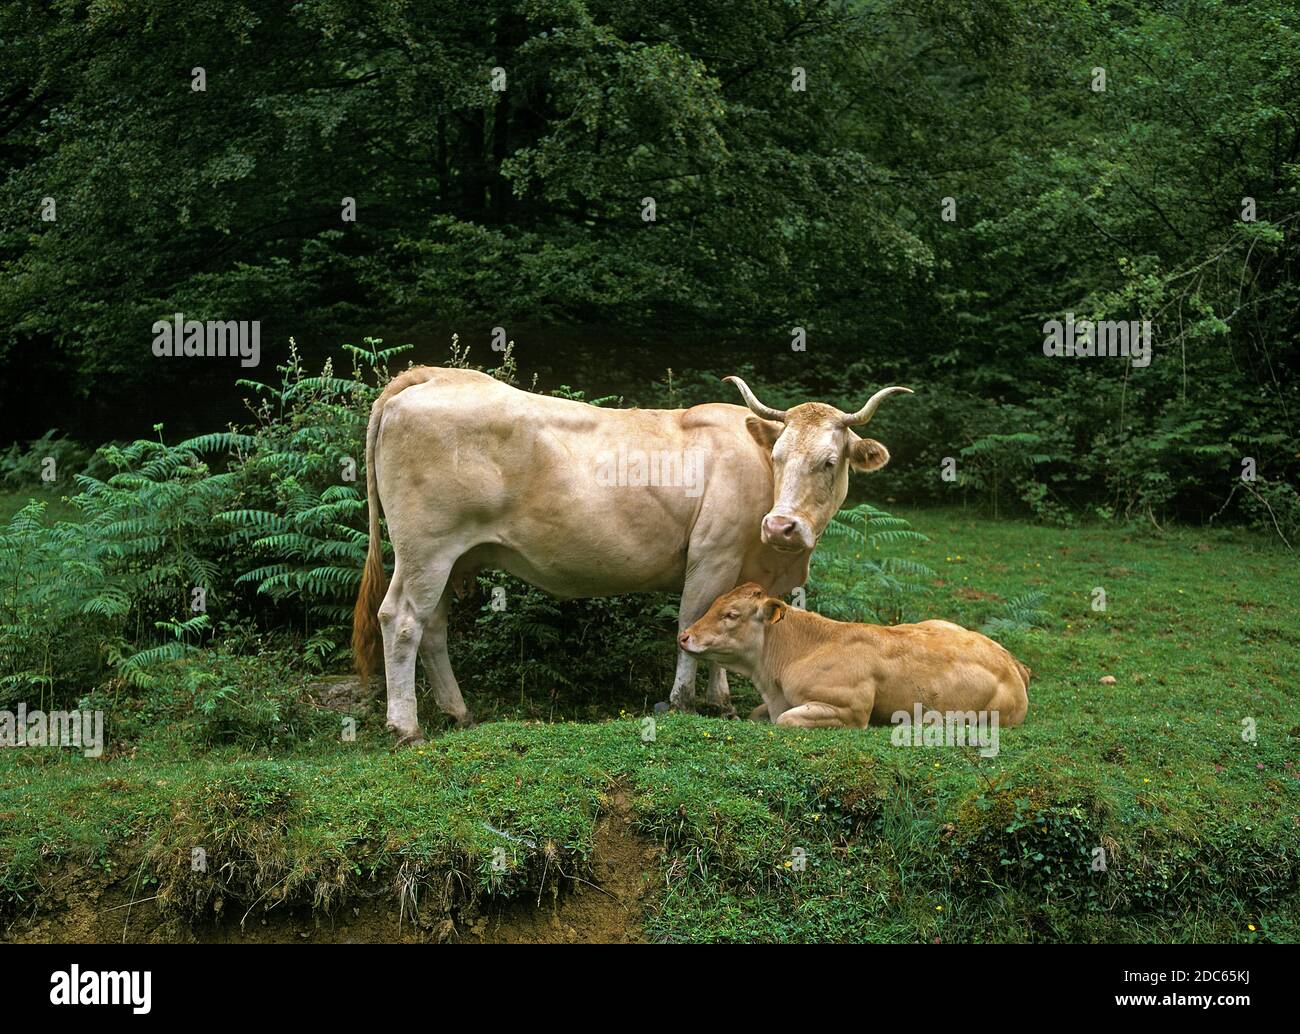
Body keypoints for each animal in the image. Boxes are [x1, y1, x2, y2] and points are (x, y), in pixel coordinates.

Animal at [351, 366, 911, 743]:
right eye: (777, 457)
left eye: (830, 461)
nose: (781, 526)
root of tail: (434, 375)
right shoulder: (712, 552)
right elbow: (690, 621)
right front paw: (683, 702)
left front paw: (723, 701)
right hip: (426, 548)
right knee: (402, 620)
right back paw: (407, 727)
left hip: (450, 558)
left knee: (434, 627)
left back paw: (459, 713)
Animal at [678, 583, 1031, 728]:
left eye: (731, 614)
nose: (684, 636)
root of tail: (1011, 661)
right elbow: (757, 713)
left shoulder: (850, 709)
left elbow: (786, 720)